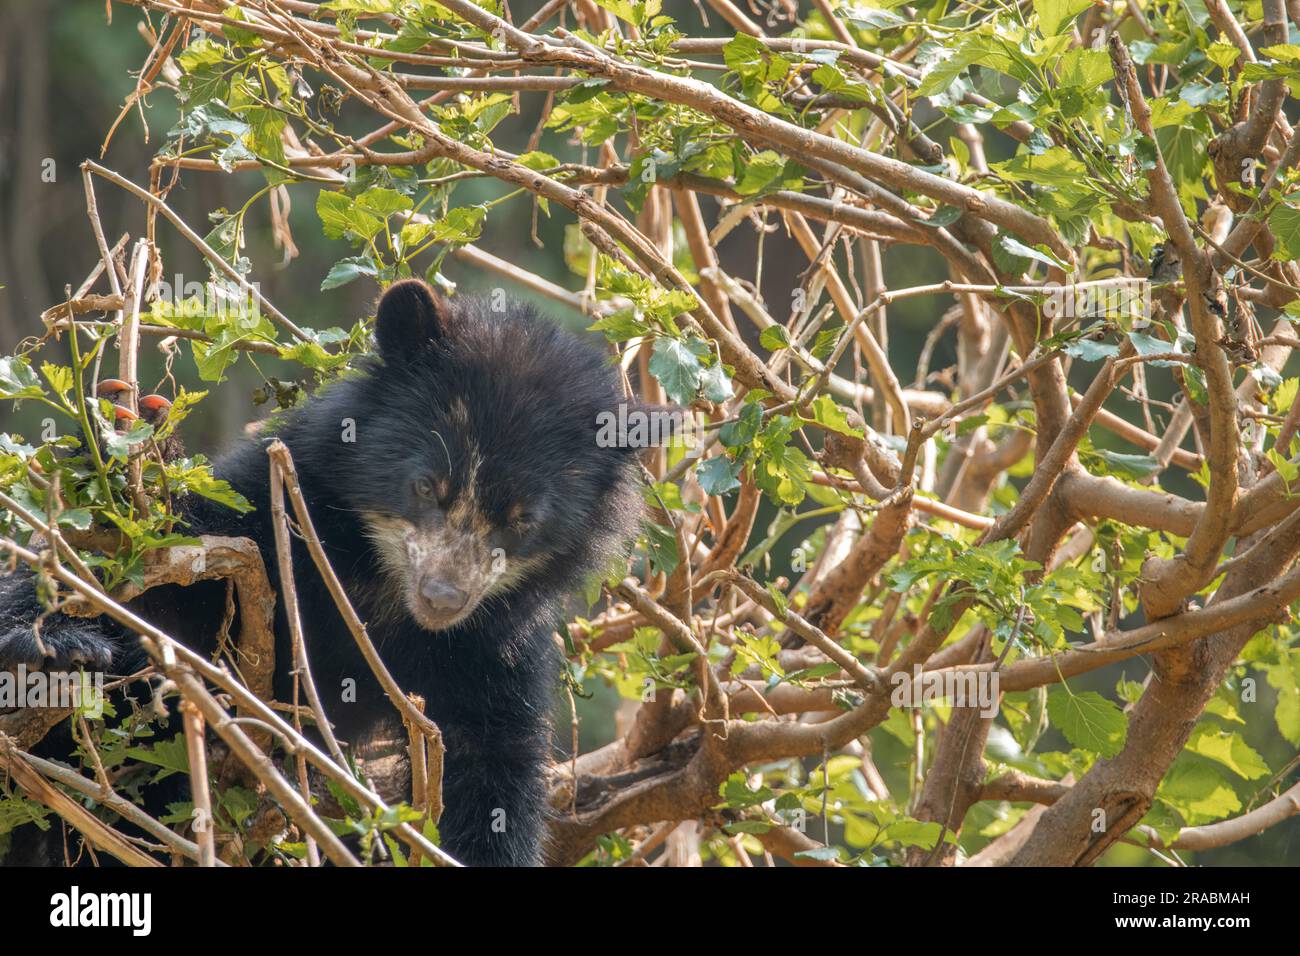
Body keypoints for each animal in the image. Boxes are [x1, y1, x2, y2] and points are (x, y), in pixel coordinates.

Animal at [0, 279, 644, 866]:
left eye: (521, 521)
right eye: (426, 486)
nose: (443, 596)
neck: (380, 589)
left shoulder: (494, 641)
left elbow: (493, 764)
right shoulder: (272, 511)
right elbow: (168, 583)